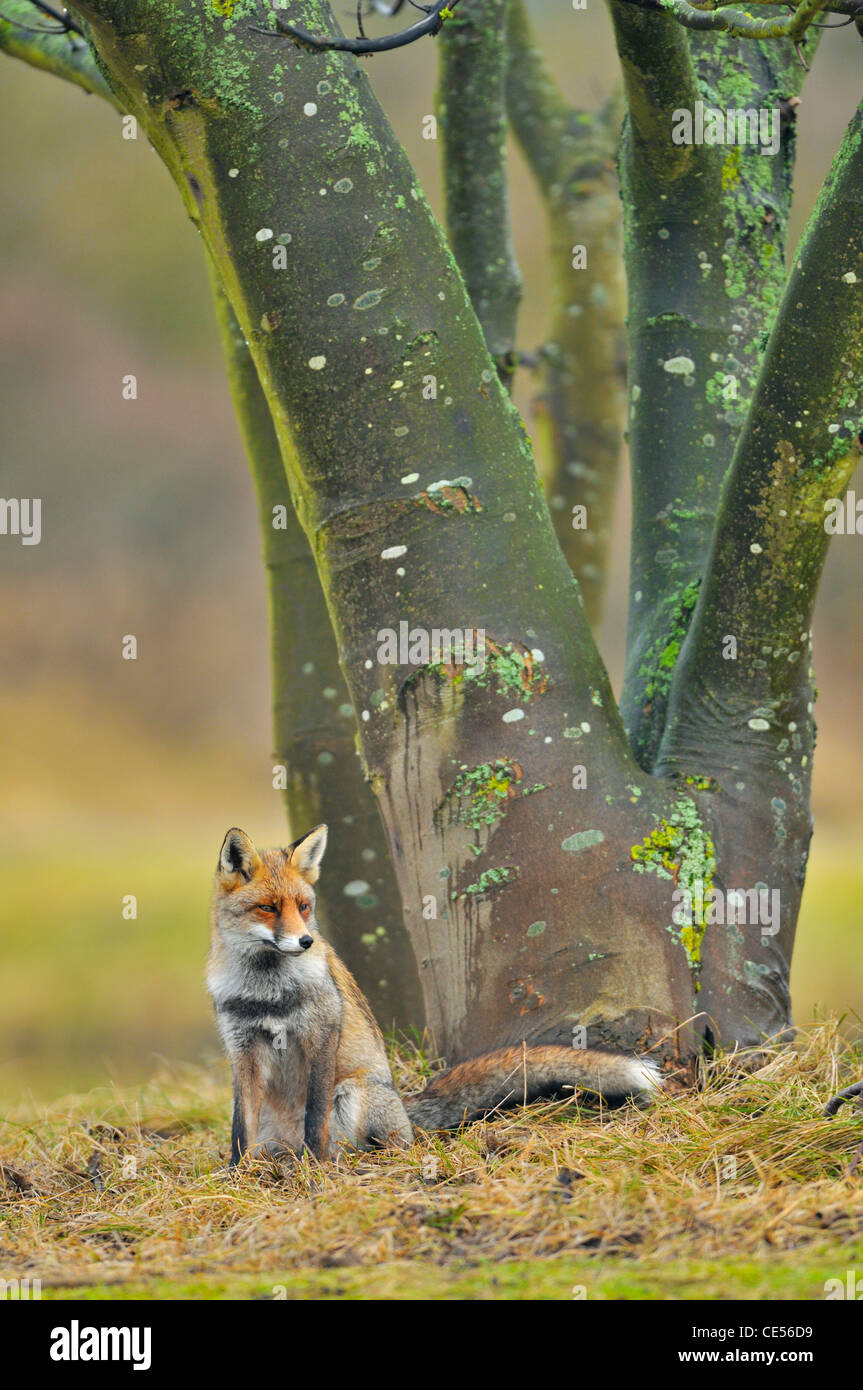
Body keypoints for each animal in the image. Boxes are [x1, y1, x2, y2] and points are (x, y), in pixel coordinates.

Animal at [207, 823, 663, 1164]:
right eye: (268, 908)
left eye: (303, 906)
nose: (305, 942)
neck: (267, 991)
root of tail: (404, 1105)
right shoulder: (241, 1045)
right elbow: (239, 1128)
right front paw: (237, 1176)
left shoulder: (320, 1034)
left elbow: (314, 1118)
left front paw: (313, 1170)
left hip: (354, 1093)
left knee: (383, 1144)